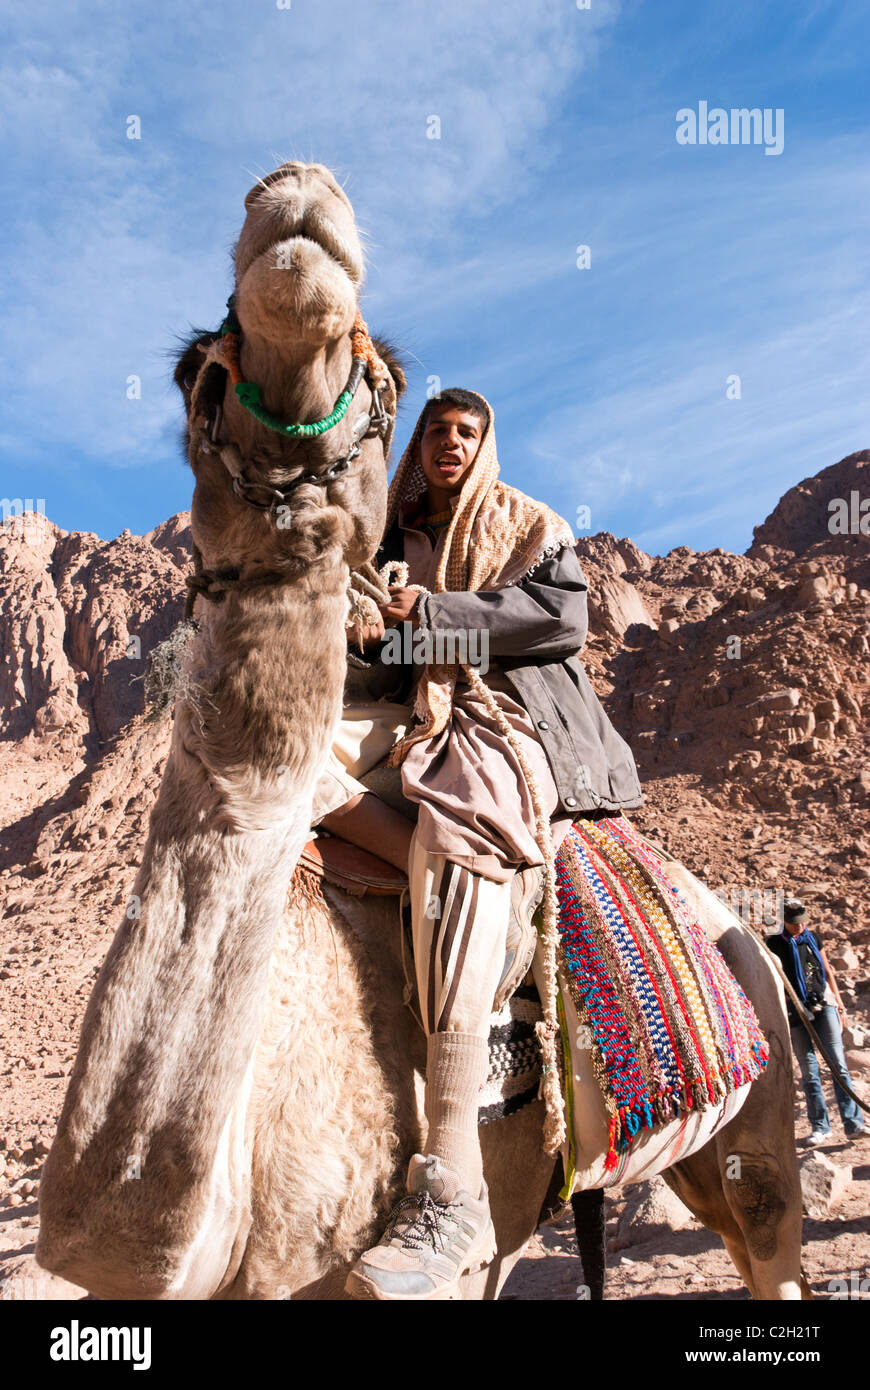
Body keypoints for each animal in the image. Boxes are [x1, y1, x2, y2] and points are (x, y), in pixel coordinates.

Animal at [35, 161, 807, 1302]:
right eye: (193, 369)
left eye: (388, 374)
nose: (297, 194)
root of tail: (739, 926)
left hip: (761, 1103)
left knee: (765, 1226)